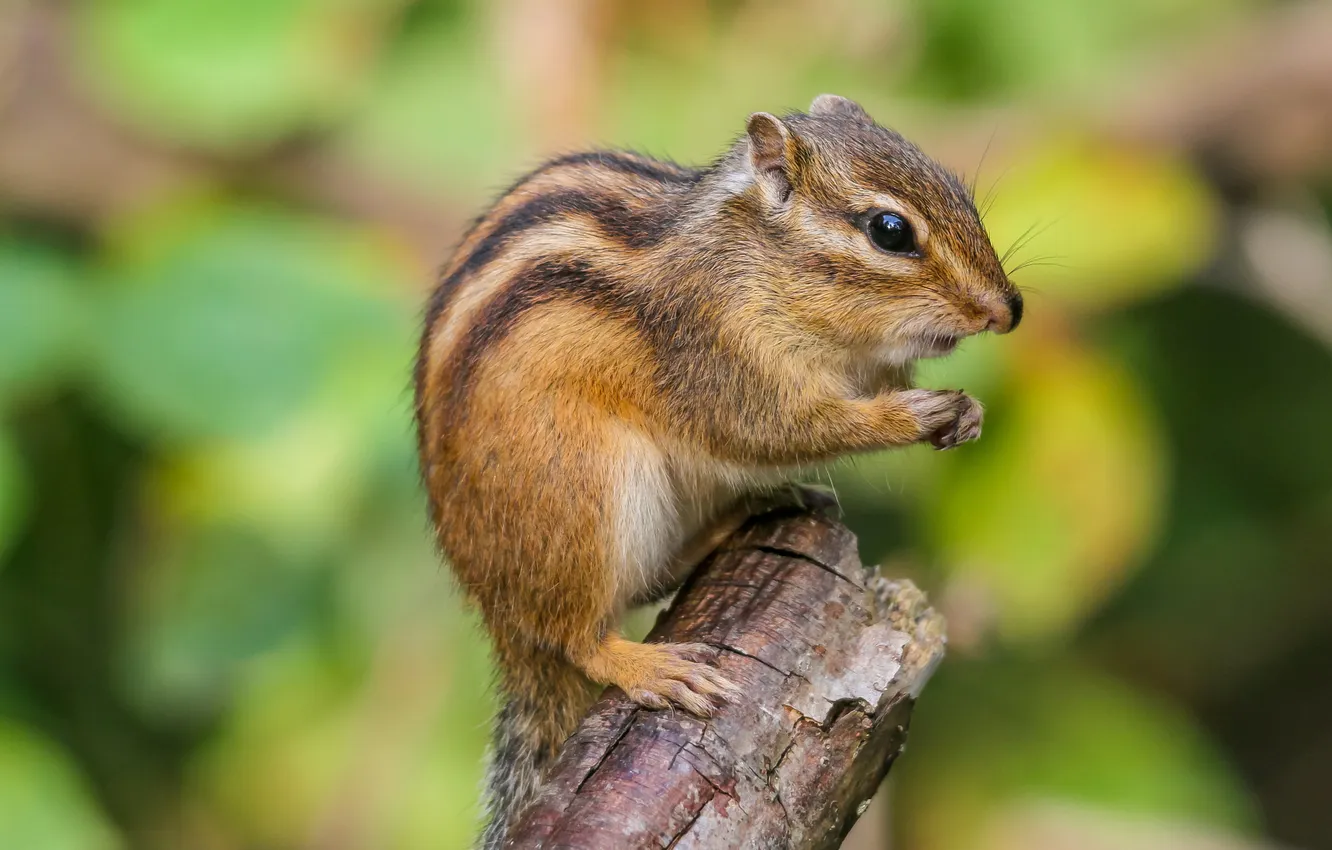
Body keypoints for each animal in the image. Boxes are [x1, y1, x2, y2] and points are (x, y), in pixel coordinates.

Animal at [414, 94, 1022, 848]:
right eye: (890, 231)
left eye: (959, 190)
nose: (1009, 310)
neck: (753, 261)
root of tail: (500, 623)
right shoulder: (719, 356)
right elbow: (778, 429)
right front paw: (912, 415)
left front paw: (968, 412)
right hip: (580, 497)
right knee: (575, 635)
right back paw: (645, 664)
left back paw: (748, 512)